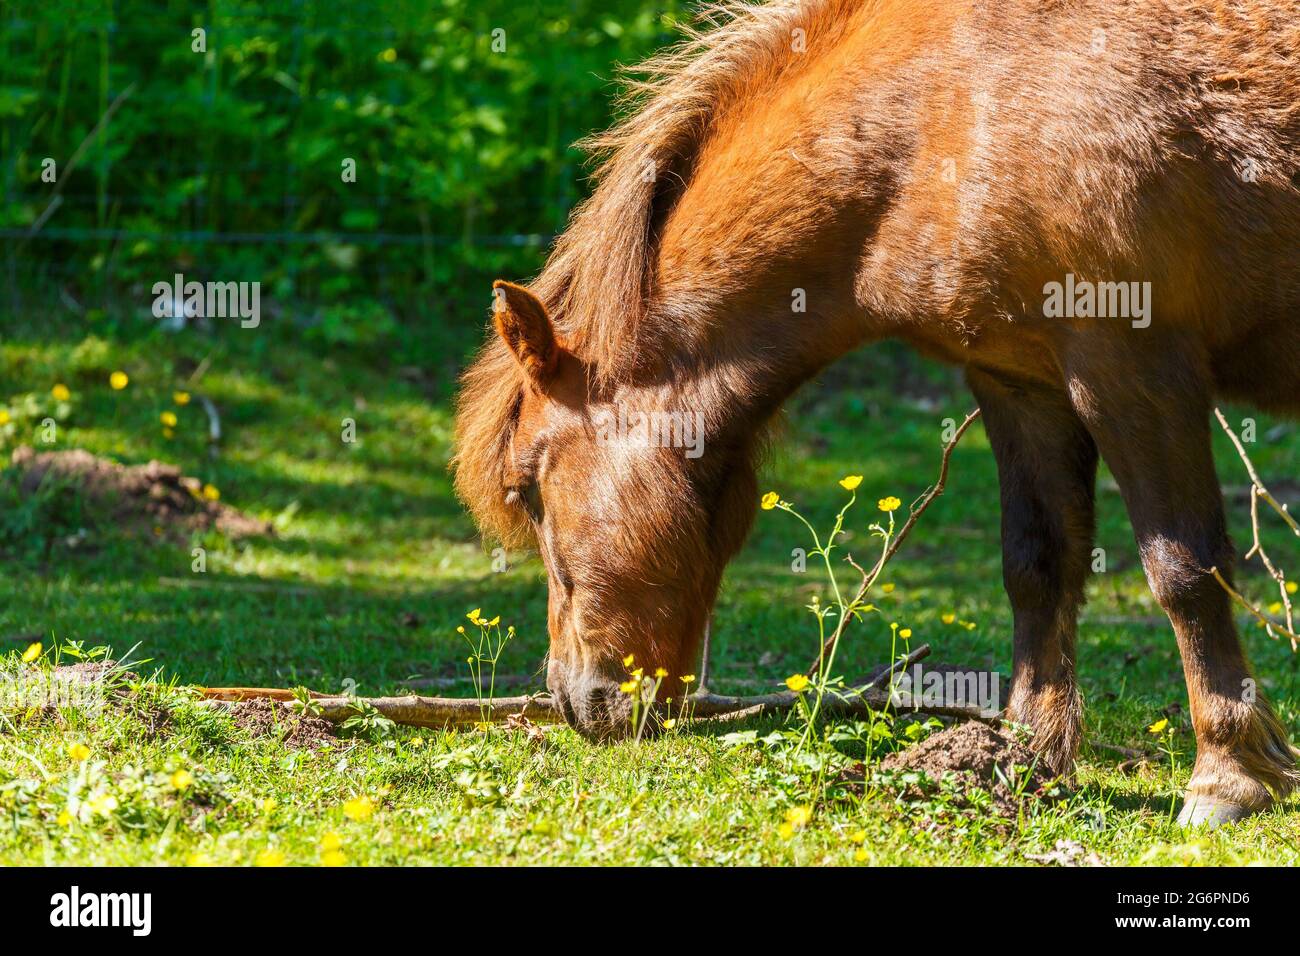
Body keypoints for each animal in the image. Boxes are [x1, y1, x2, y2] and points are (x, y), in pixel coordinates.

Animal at [454, 0, 1300, 826]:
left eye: (529, 491)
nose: (574, 699)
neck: (947, 109)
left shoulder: (1132, 371)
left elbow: (1184, 571)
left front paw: (1227, 775)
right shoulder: (1020, 382)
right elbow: (1038, 563)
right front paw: (1024, 757)